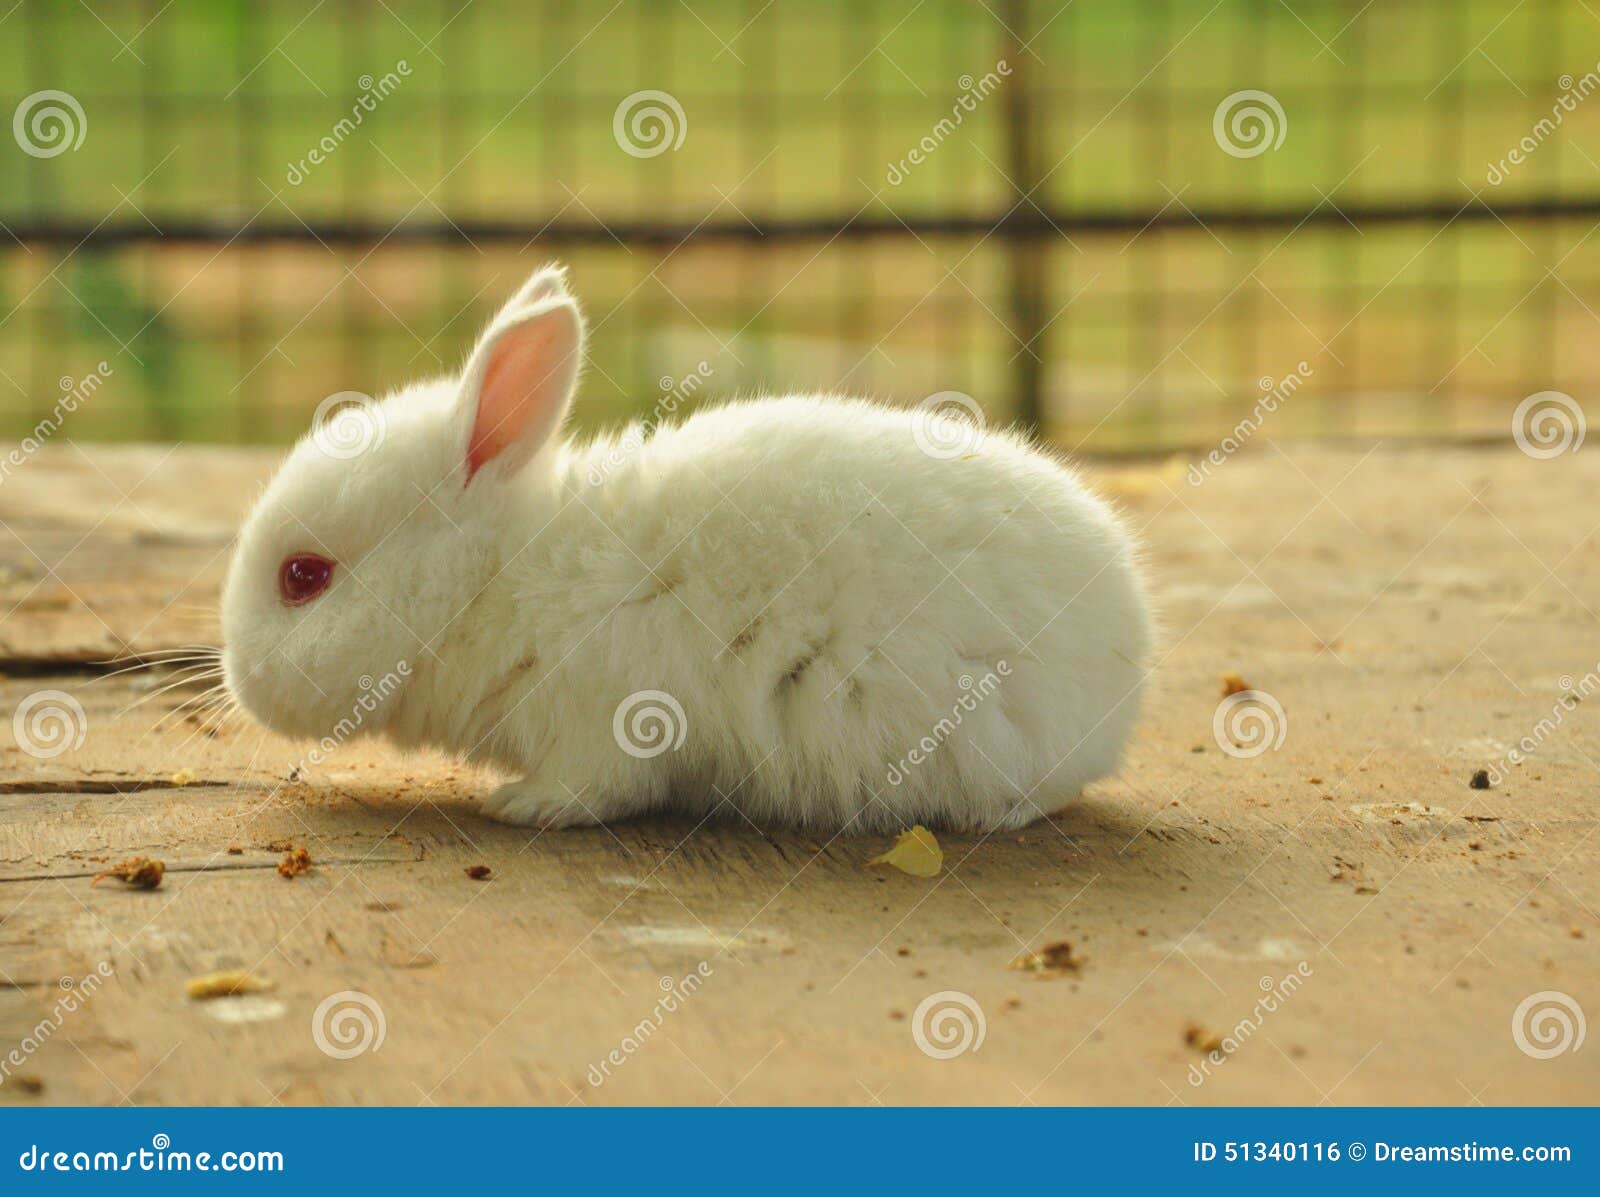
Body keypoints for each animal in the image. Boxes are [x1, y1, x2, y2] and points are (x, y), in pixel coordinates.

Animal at [221, 265, 1153, 833]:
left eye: (303, 576)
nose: (235, 680)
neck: (502, 581)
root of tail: (1134, 643)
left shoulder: (607, 721)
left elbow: (594, 788)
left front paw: (519, 805)